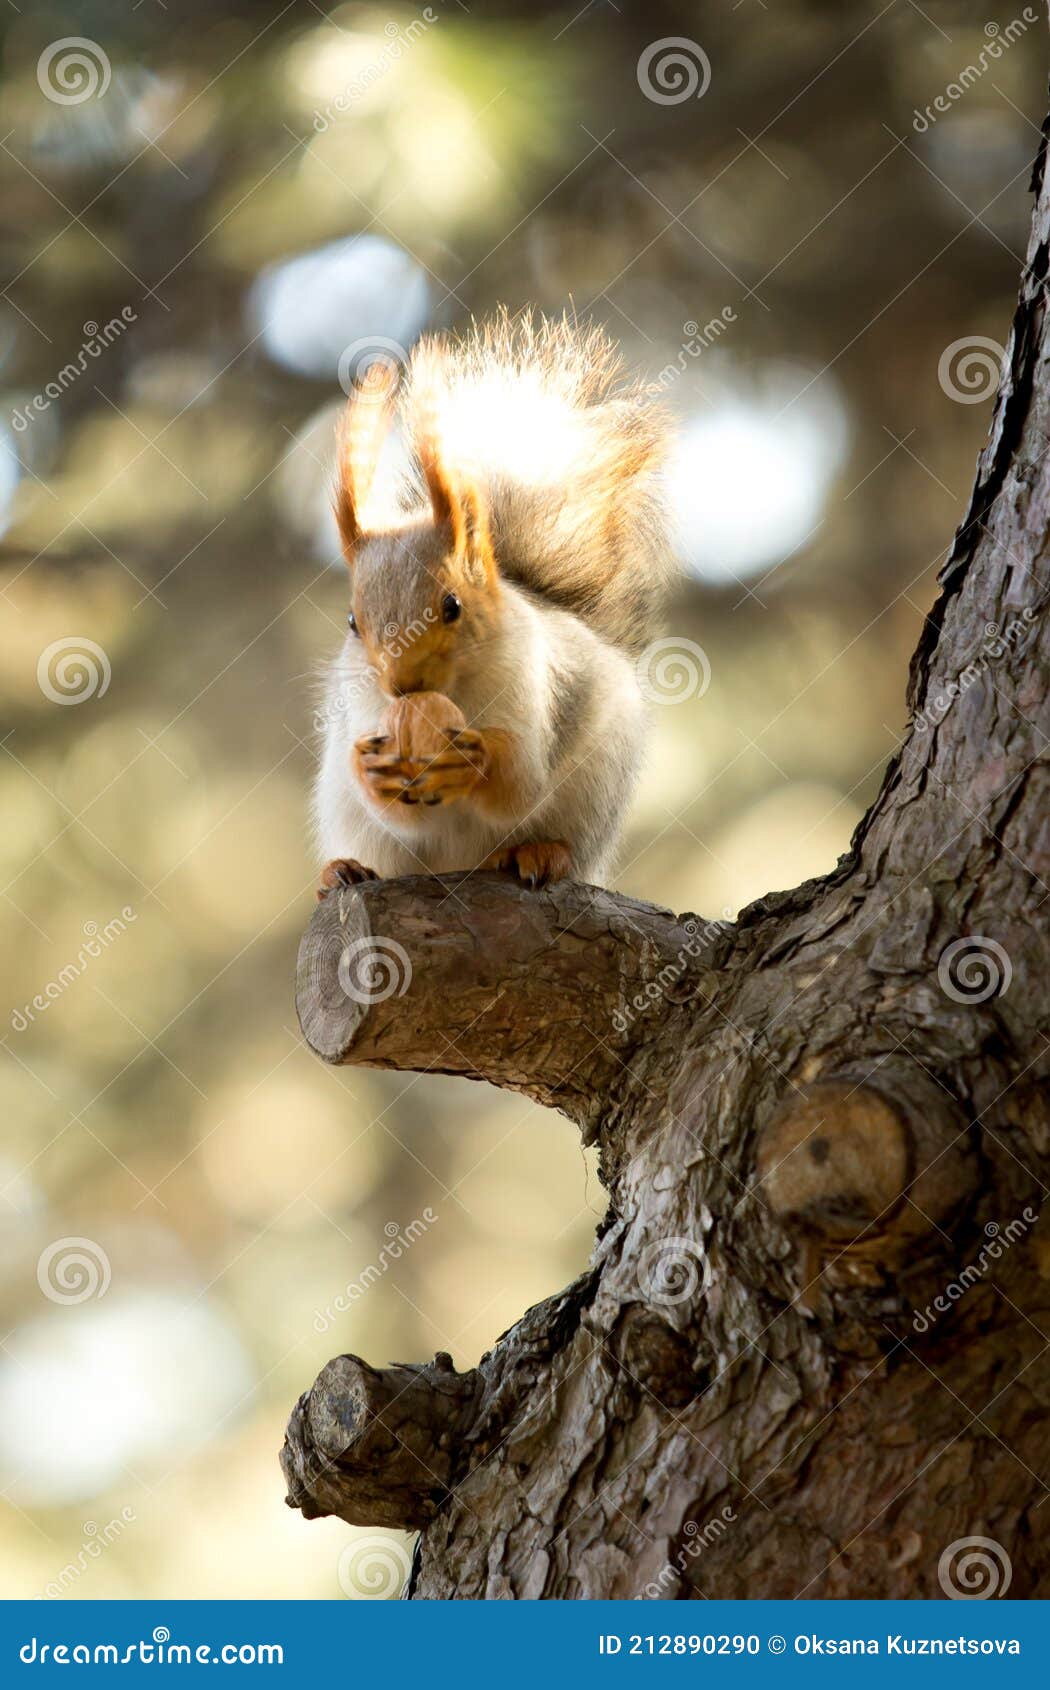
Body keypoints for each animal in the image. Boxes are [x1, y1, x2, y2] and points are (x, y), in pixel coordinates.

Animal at [313, 309, 675, 898]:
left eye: (453, 606)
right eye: (352, 622)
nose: (402, 685)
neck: (455, 688)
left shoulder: (534, 683)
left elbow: (520, 784)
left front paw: (472, 759)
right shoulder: (366, 708)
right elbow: (400, 814)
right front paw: (374, 771)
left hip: (594, 796)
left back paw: (543, 853)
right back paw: (343, 869)